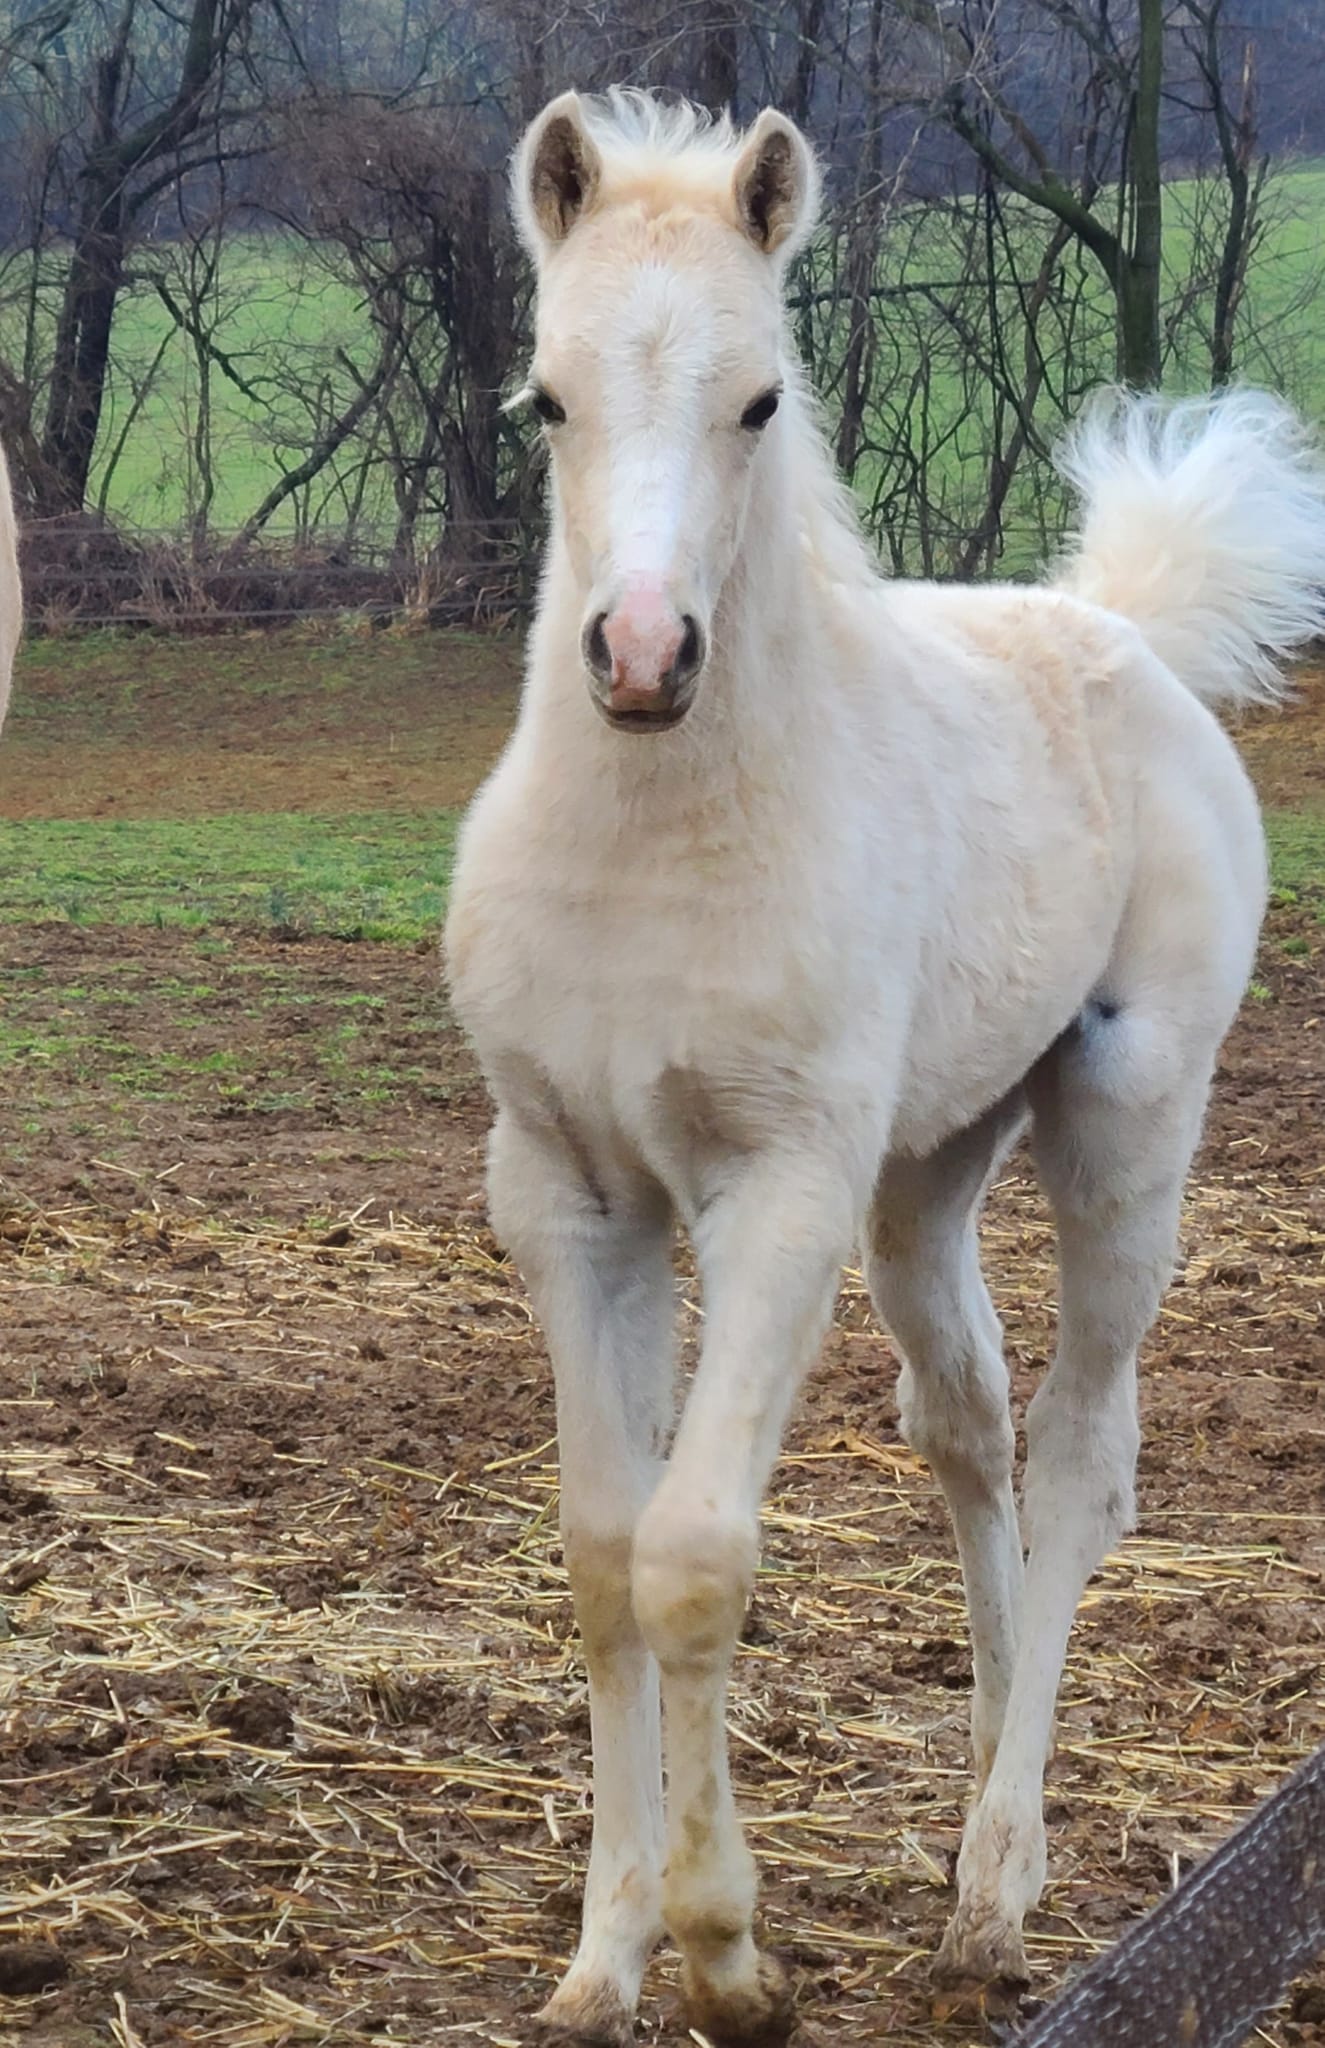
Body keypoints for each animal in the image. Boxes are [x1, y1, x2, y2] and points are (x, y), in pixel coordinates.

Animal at [444, 88, 1325, 2047]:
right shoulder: (570, 1192)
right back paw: (987, 1802)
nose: (640, 655)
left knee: (1078, 1456)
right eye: (547, 398)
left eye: (762, 400)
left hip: (1123, 1128)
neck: (655, 843)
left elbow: (696, 1548)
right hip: (928, 1176)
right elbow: (602, 1555)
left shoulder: (777, 1187)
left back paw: (996, 1889)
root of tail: (1120, 631)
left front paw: (730, 1957)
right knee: (969, 1426)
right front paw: (603, 1959)